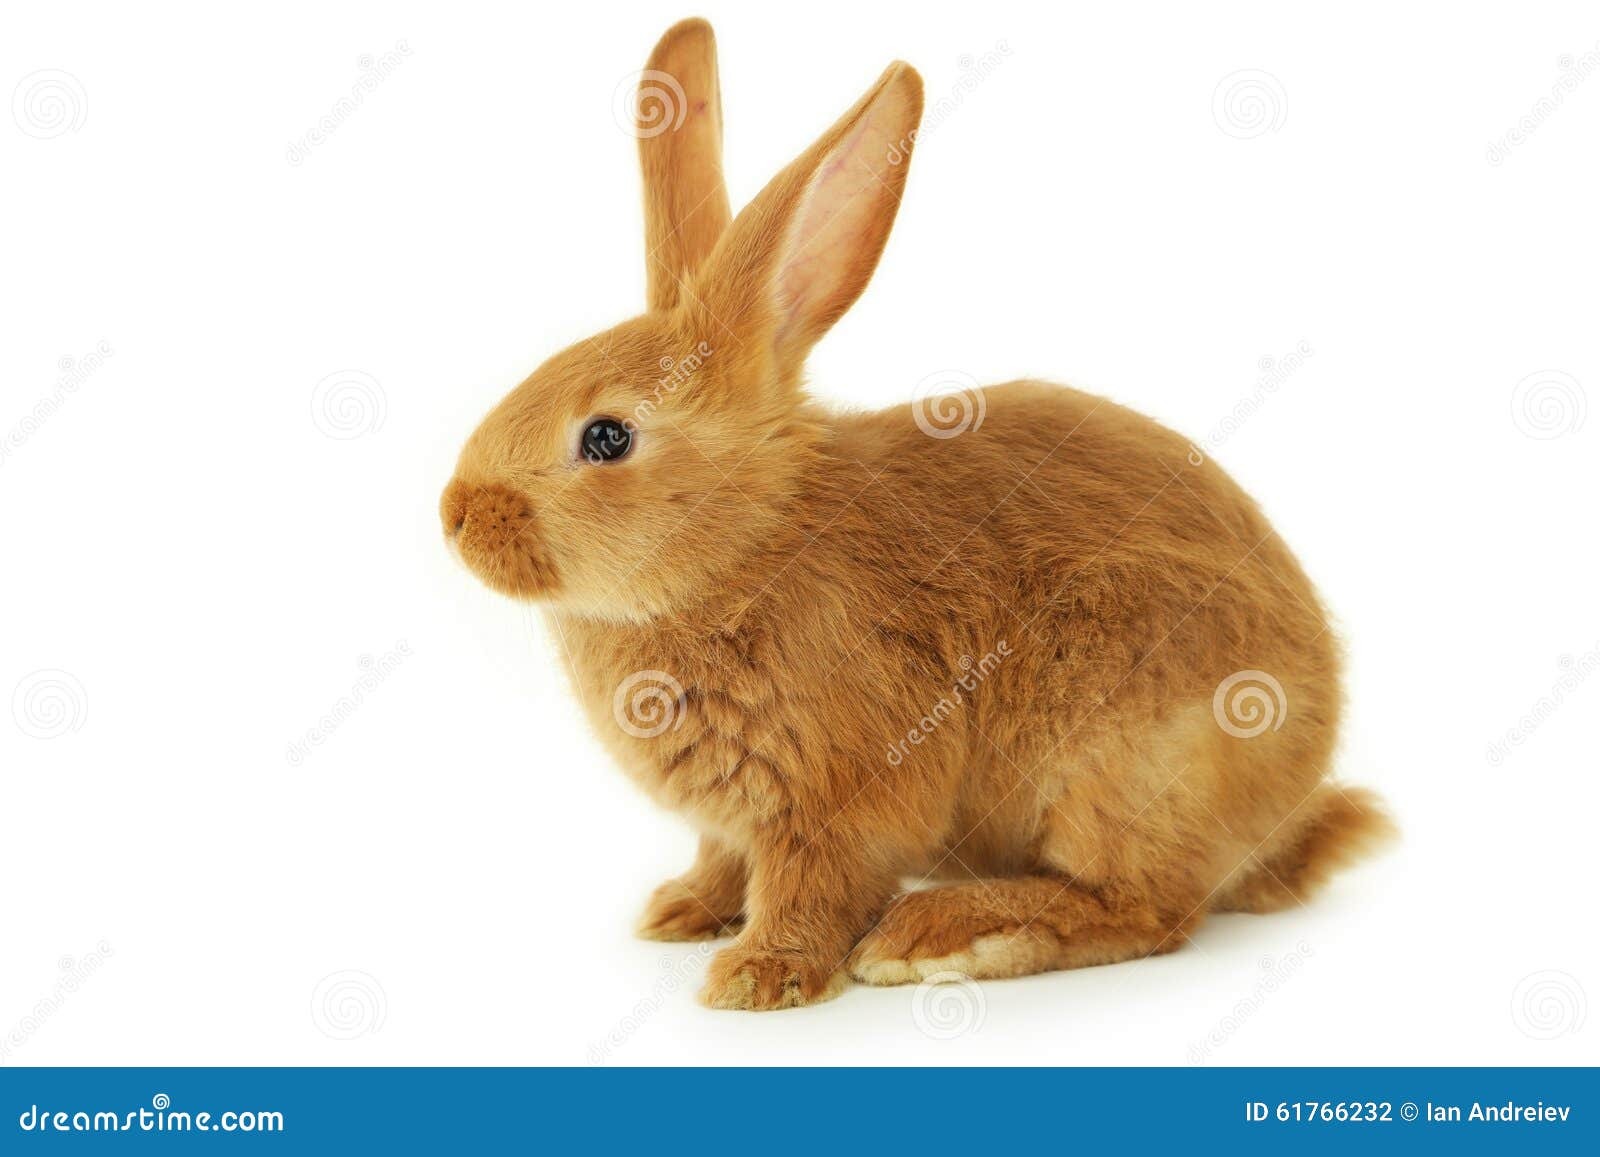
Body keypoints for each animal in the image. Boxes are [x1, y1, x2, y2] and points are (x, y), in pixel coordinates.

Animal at [440, 18, 1394, 1010]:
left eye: (607, 437)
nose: (457, 514)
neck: (745, 547)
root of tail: (1291, 801)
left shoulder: (836, 795)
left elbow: (811, 884)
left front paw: (757, 975)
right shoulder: (735, 820)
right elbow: (723, 859)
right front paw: (682, 911)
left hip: (1124, 752)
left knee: (1142, 908)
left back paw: (943, 933)